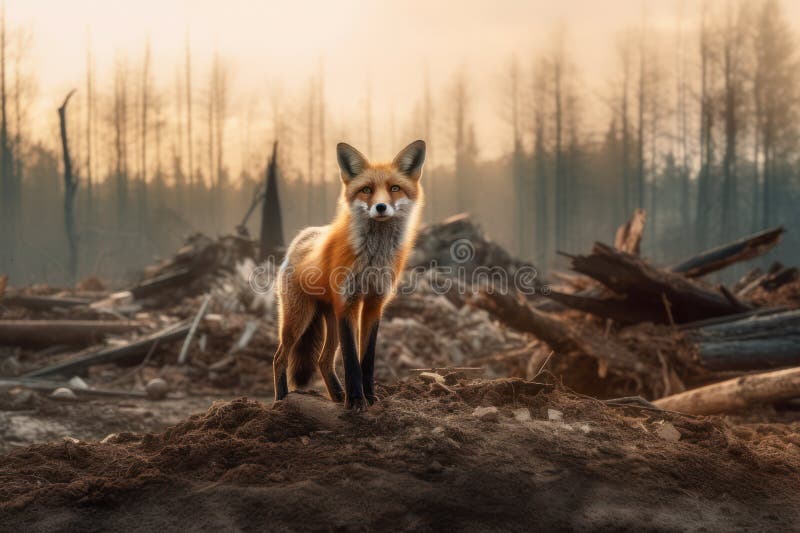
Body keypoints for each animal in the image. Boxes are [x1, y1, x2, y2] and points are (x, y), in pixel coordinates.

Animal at [272, 139, 426, 410]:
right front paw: (355, 400)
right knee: (279, 358)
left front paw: (369, 397)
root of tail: (301, 237)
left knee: (323, 360)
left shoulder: (375, 303)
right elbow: (352, 359)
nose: (381, 207)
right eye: (366, 189)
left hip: (328, 319)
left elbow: (367, 359)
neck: (373, 257)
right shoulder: (348, 302)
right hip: (298, 319)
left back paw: (337, 396)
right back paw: (281, 401)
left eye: (395, 188)